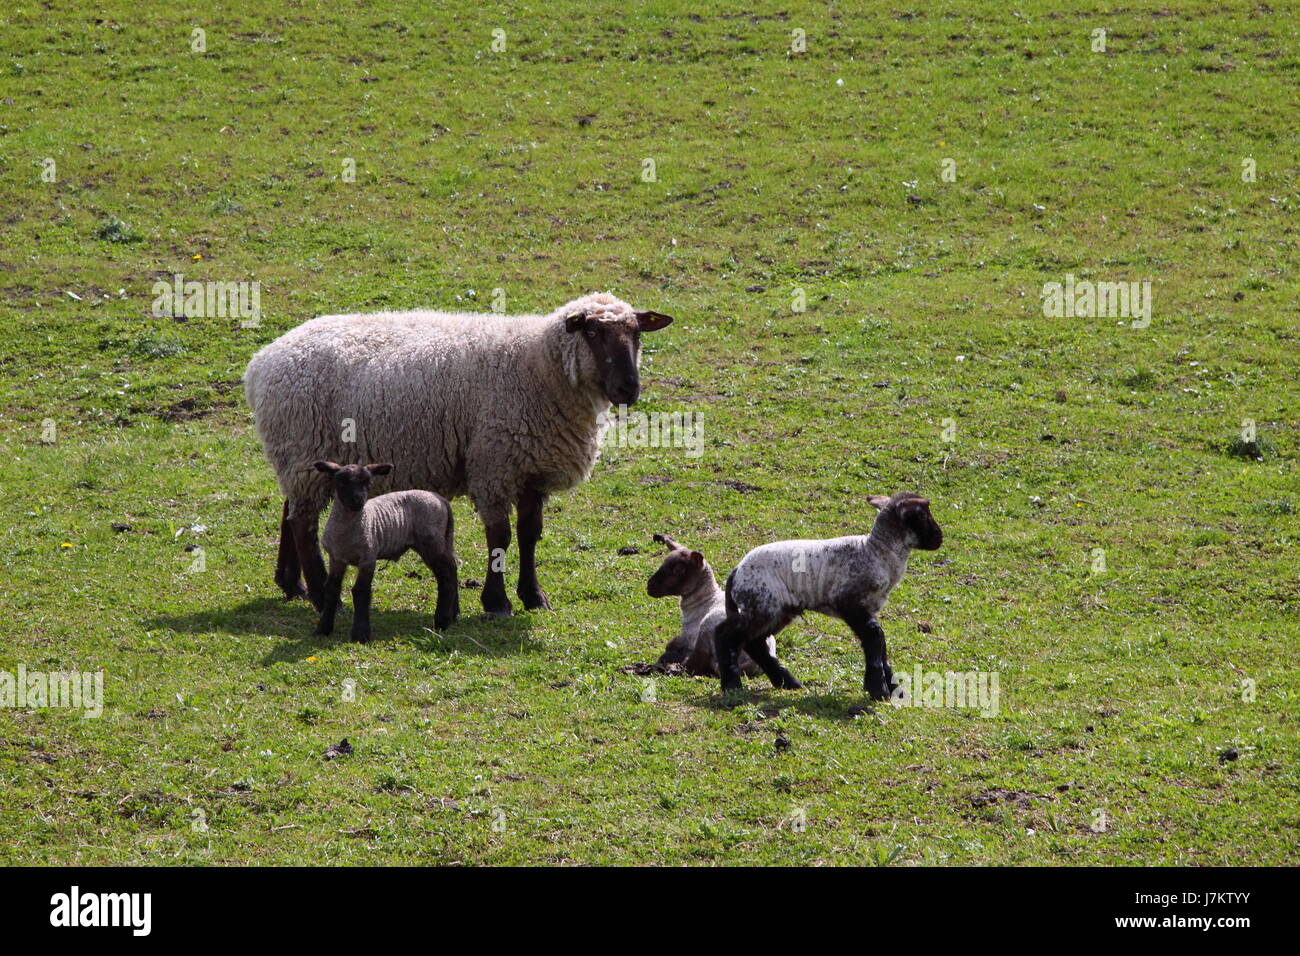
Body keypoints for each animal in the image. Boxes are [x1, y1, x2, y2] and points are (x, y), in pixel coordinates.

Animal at [243, 292, 674, 617]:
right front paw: (497, 602)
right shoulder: (494, 464)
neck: (537, 365)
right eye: (593, 331)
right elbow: (500, 536)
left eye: (636, 333)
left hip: (304, 458)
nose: (629, 388)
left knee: (289, 510)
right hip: (305, 447)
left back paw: (291, 584)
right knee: (303, 523)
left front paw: (533, 596)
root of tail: (261, 362)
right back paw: (320, 596)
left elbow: (530, 534)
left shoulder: (530, 468)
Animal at [312, 461, 459, 643]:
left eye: (367, 483)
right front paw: (322, 629)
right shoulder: (336, 558)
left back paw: (442, 621)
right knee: (450, 570)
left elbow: (361, 591)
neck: (346, 531)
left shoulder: (368, 558)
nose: (358, 500)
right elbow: (331, 589)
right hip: (439, 542)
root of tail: (441, 500)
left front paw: (360, 634)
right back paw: (452, 616)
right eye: (342, 482)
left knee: (446, 576)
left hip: (432, 542)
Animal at [647, 534, 779, 678]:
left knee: (695, 665)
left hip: (709, 625)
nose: (649, 586)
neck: (706, 598)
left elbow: (674, 645)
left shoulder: (689, 637)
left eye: (678, 569)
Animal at [712, 492, 943, 697]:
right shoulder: (849, 602)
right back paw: (732, 685)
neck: (877, 551)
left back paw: (788, 682)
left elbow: (880, 643)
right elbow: (875, 637)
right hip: (761, 605)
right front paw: (879, 688)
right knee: (726, 635)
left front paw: (892, 688)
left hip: (777, 610)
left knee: (754, 643)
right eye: (922, 516)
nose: (939, 538)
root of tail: (736, 571)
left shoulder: (869, 608)